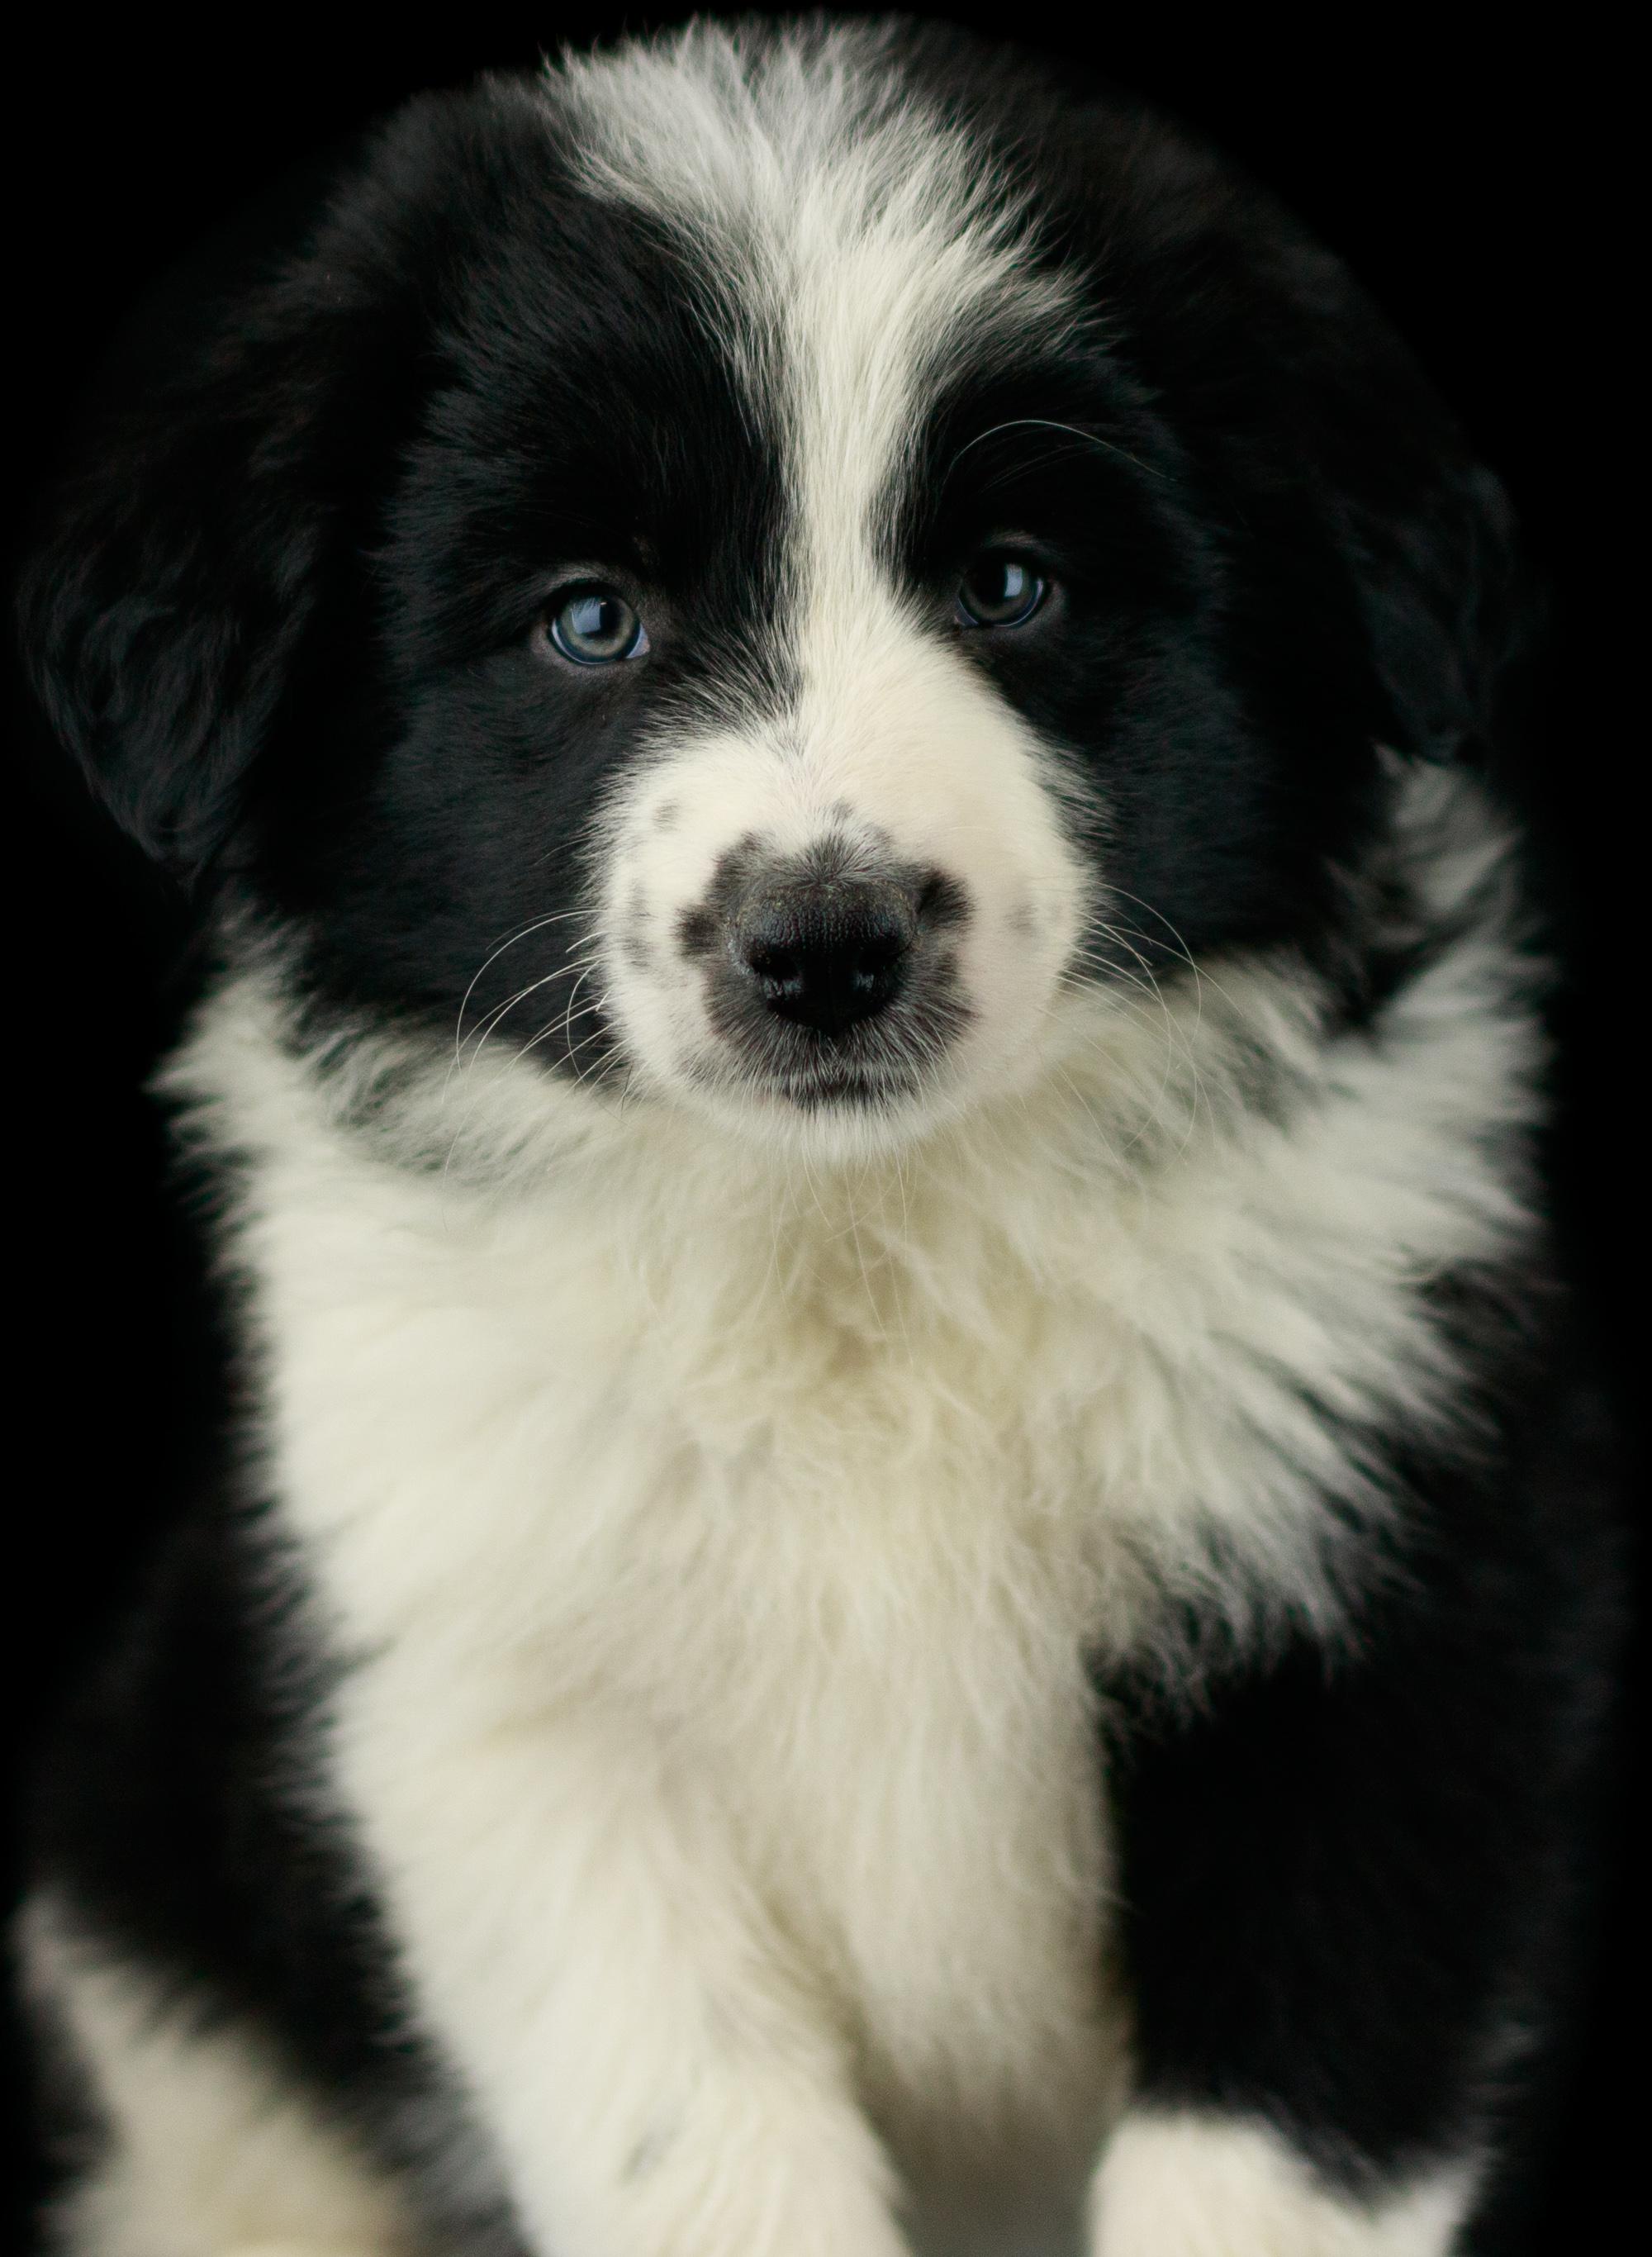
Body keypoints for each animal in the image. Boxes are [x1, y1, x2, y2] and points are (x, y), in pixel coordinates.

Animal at [12, 17, 1616, 2257]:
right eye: (588, 619)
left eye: (1015, 586)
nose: (828, 945)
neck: (853, 1234)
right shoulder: (509, 1697)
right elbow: (695, 2143)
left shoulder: (1392, 1584)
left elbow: (1275, 2143)